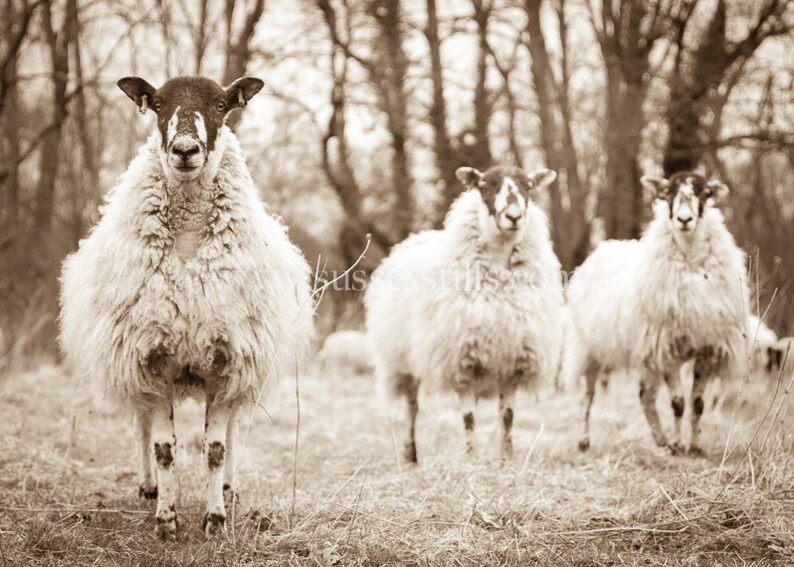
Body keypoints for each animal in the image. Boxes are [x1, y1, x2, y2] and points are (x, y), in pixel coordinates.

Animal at [59, 76, 314, 540]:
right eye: (158, 104)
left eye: (221, 105)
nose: (184, 150)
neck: (191, 244)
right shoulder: (152, 361)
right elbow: (163, 448)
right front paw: (166, 520)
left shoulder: (228, 364)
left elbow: (215, 448)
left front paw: (215, 519)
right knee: (142, 427)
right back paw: (148, 487)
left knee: (231, 435)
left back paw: (229, 488)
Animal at [365, 165, 564, 463]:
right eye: (485, 186)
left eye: (528, 187)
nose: (514, 217)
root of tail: (412, 239)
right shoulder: (460, 362)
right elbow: (468, 418)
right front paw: (471, 459)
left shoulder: (513, 361)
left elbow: (507, 416)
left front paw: (506, 458)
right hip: (400, 361)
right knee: (412, 408)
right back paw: (411, 455)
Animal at [564, 172, 749, 455]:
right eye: (667, 193)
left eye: (704, 193)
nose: (684, 220)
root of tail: (602, 248)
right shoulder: (666, 349)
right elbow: (678, 403)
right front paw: (679, 444)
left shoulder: (706, 350)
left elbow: (697, 404)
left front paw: (694, 446)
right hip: (589, 347)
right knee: (588, 396)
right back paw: (584, 441)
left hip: (645, 357)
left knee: (645, 396)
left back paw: (661, 439)